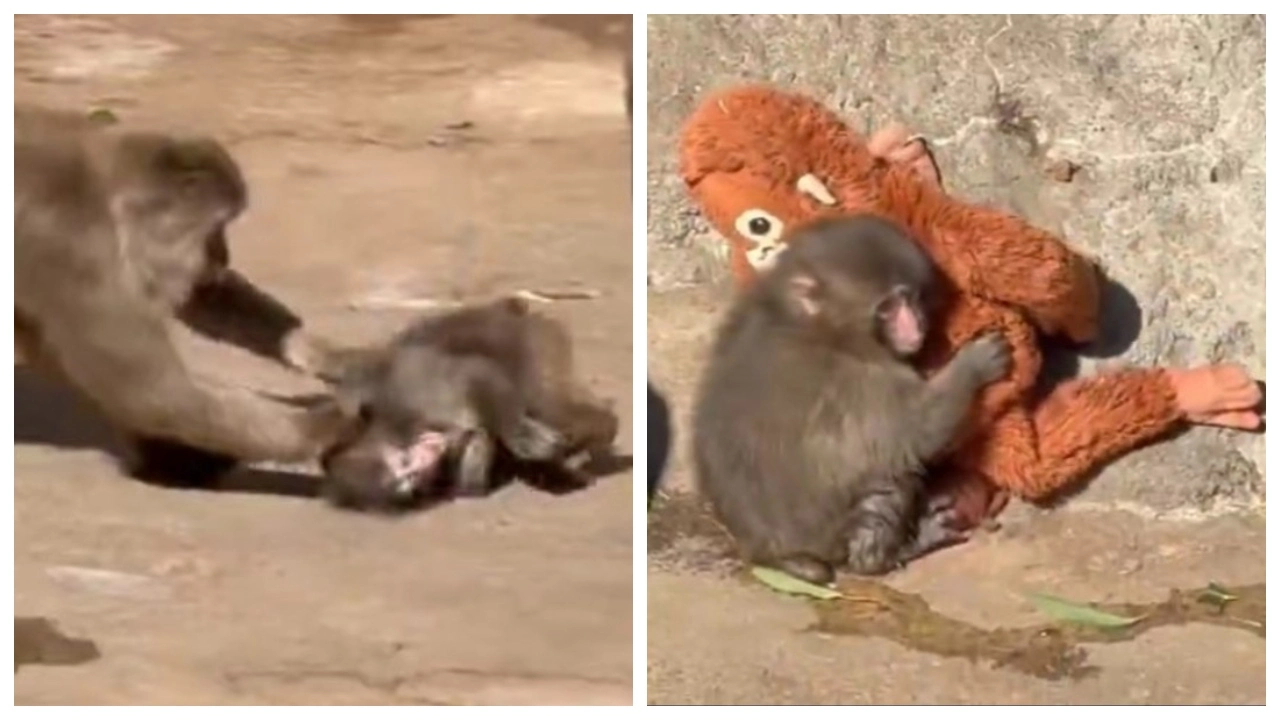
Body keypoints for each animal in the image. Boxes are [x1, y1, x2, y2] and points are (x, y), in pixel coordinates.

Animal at [14, 105, 352, 486]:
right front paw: (326, 425)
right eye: (216, 230)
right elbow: (147, 390)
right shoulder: (76, 249)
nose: (222, 255)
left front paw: (319, 352)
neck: (103, 196)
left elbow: (201, 298)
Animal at [318, 297, 621, 513]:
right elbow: (475, 451)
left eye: (404, 466)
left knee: (542, 398)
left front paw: (523, 439)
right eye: (403, 483)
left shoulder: (413, 390)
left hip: (536, 344)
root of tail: (509, 309)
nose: (415, 478)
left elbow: (478, 374)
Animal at [691, 214, 1012, 585]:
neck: (812, 325)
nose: (915, 327)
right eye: (888, 307)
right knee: (887, 479)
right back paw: (887, 555)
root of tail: (767, 553)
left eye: (911, 298)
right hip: (830, 533)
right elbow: (918, 430)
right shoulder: (861, 379)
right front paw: (974, 363)